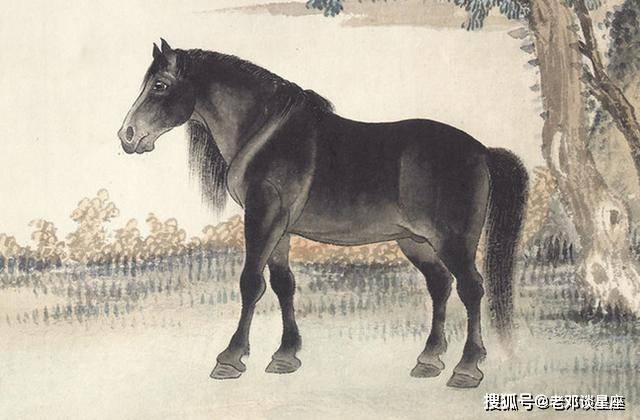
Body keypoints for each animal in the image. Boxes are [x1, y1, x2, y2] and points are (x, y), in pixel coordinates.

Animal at [118, 39, 528, 388]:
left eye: (160, 85)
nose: (127, 135)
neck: (265, 134)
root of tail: (481, 151)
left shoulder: (263, 218)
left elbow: (251, 283)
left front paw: (230, 358)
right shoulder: (279, 229)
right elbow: (283, 285)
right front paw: (285, 356)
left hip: (453, 242)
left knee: (471, 289)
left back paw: (467, 369)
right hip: (416, 241)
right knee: (440, 285)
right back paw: (428, 360)